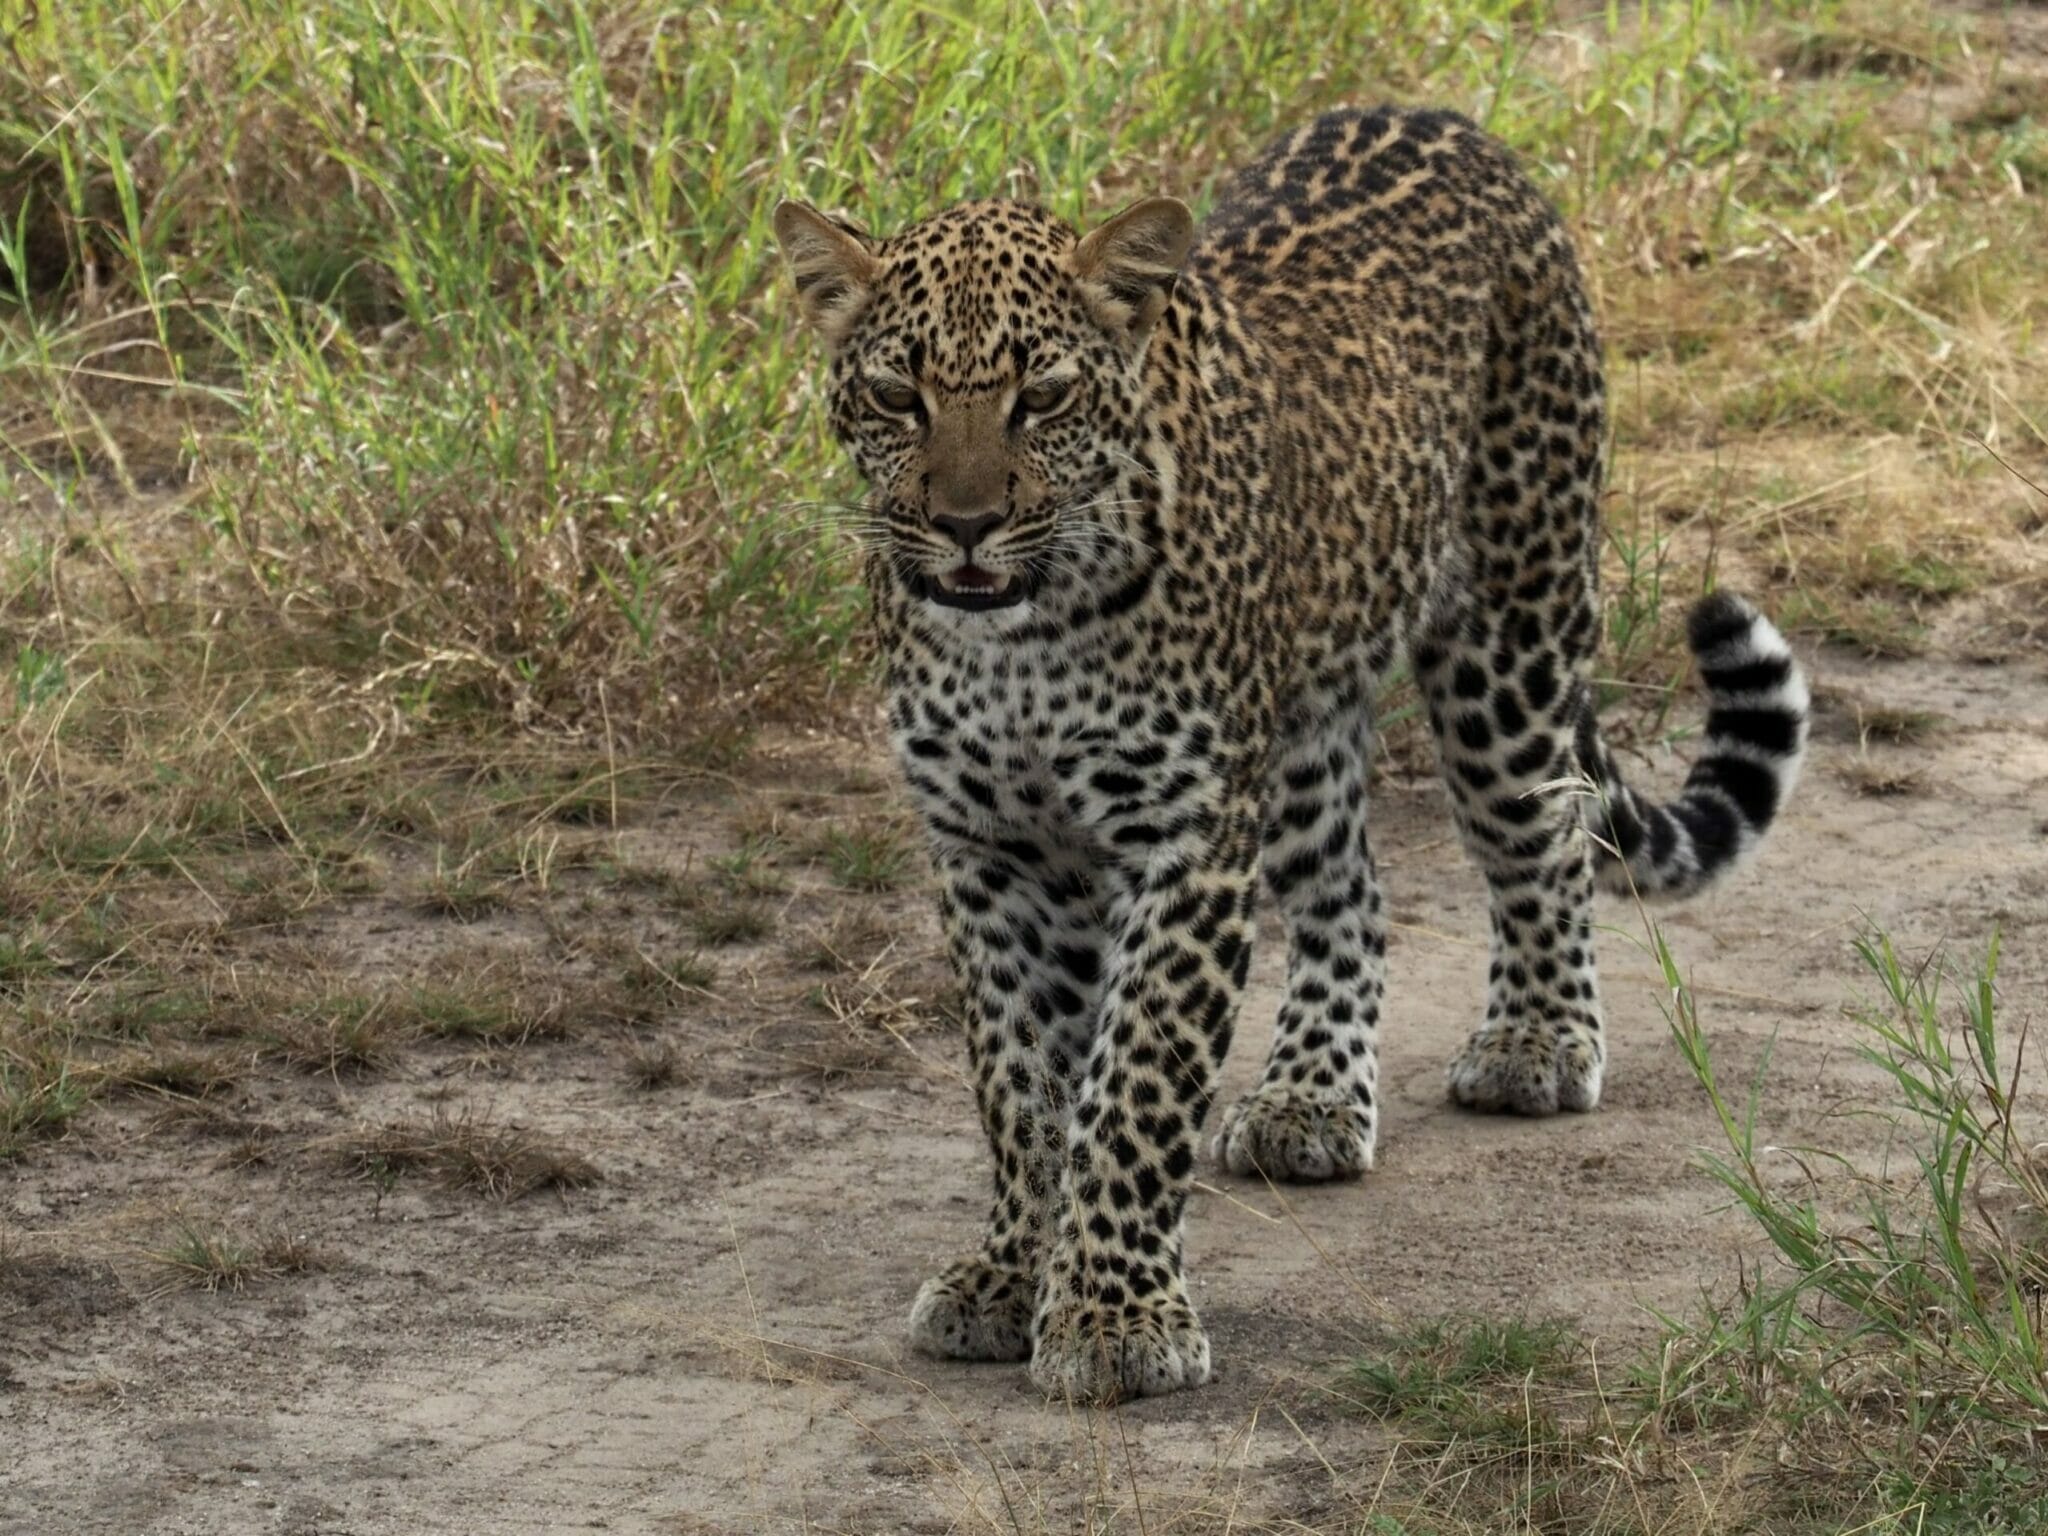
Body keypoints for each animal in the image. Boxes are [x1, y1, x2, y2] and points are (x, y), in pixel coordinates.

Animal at [772, 105, 1808, 1404]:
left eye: (1043, 394)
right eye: (895, 392)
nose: (964, 526)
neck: (1020, 635)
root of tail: (1439, 118)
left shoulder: (1182, 837)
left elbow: (1133, 1081)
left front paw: (1113, 1315)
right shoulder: (986, 851)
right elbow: (1019, 1086)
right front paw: (1010, 1277)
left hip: (1506, 642)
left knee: (1544, 843)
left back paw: (1537, 1041)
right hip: (1307, 721)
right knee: (1351, 898)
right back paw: (1310, 1096)